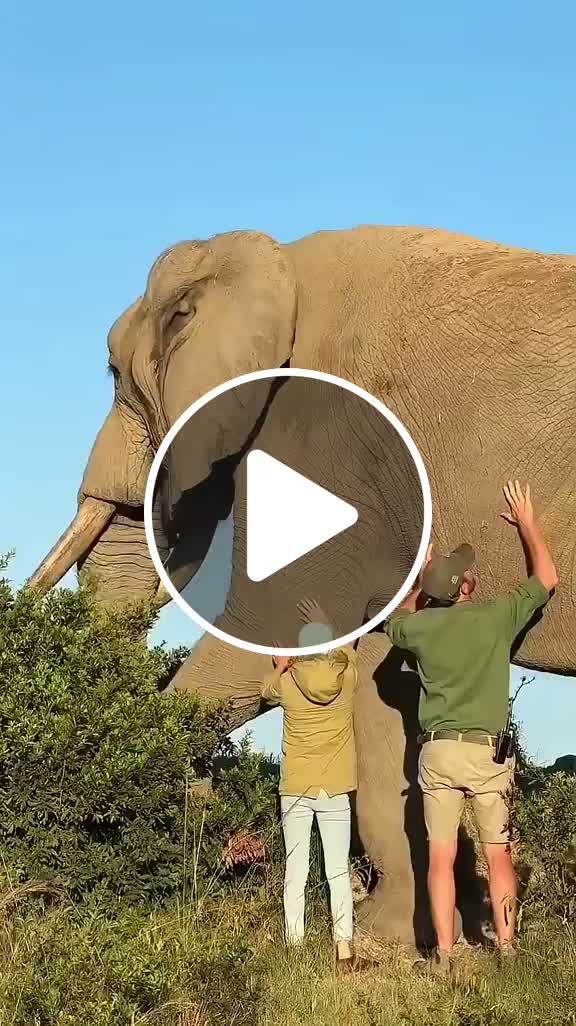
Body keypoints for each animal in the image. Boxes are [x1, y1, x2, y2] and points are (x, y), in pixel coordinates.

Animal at [30, 225, 576, 945]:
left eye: (114, 374)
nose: (217, 861)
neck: (269, 258)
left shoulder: (326, 433)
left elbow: (272, 626)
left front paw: (379, 941)